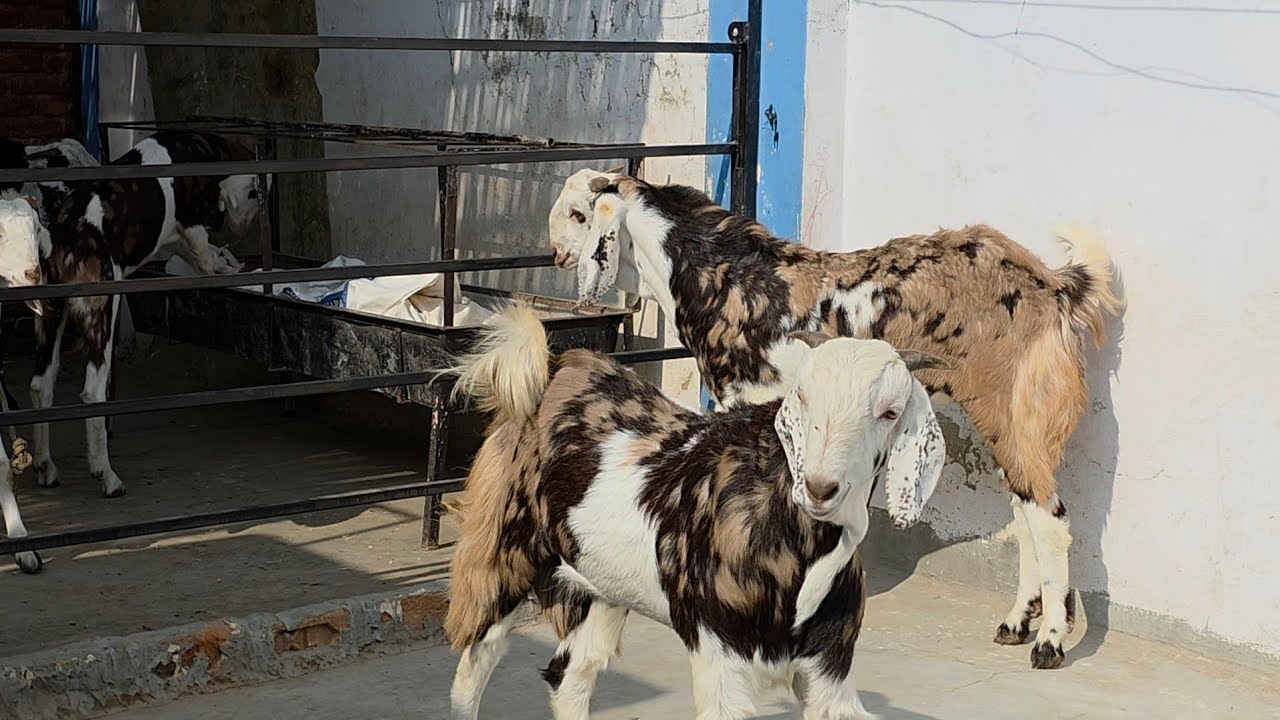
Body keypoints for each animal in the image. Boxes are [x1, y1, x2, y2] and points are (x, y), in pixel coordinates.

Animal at [24, 131, 262, 499]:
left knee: (41, 384)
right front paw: (223, 268)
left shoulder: (175, 236)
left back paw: (46, 467)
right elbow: (205, 255)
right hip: (102, 312)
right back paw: (107, 477)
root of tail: (61, 239)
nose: (244, 227)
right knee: (92, 391)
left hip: (50, 318)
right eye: (253, 191)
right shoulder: (191, 225)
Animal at [442, 304, 947, 720]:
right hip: (502, 552)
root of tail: (554, 368)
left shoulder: (829, 671)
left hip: (601, 588)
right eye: (802, 397)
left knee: (572, 673)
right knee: (475, 662)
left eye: (890, 411)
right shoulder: (720, 655)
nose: (821, 488)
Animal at [549, 170, 1125, 670]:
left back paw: (1049, 643)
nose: (555, 254)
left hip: (1014, 412)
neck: (730, 279)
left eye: (579, 214)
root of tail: (1055, 284)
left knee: (1050, 522)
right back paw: (1017, 622)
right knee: (1026, 515)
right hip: (1008, 423)